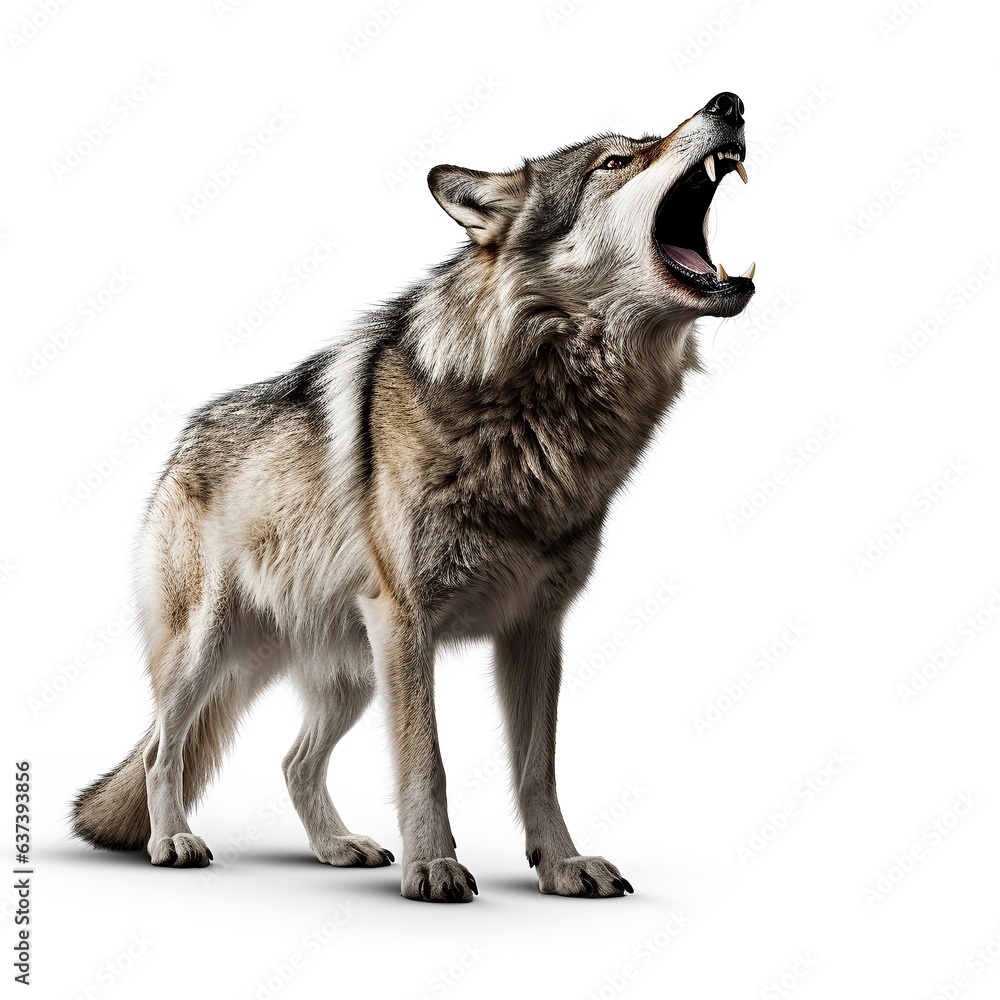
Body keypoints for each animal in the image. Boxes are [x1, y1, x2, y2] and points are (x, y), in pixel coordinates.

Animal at [72, 92, 754, 902]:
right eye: (616, 160)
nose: (729, 102)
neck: (535, 404)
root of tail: (182, 440)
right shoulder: (406, 621)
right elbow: (426, 761)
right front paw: (433, 866)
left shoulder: (535, 630)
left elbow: (538, 769)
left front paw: (561, 864)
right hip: (210, 651)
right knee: (160, 752)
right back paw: (172, 840)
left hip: (351, 671)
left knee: (293, 762)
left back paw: (337, 847)